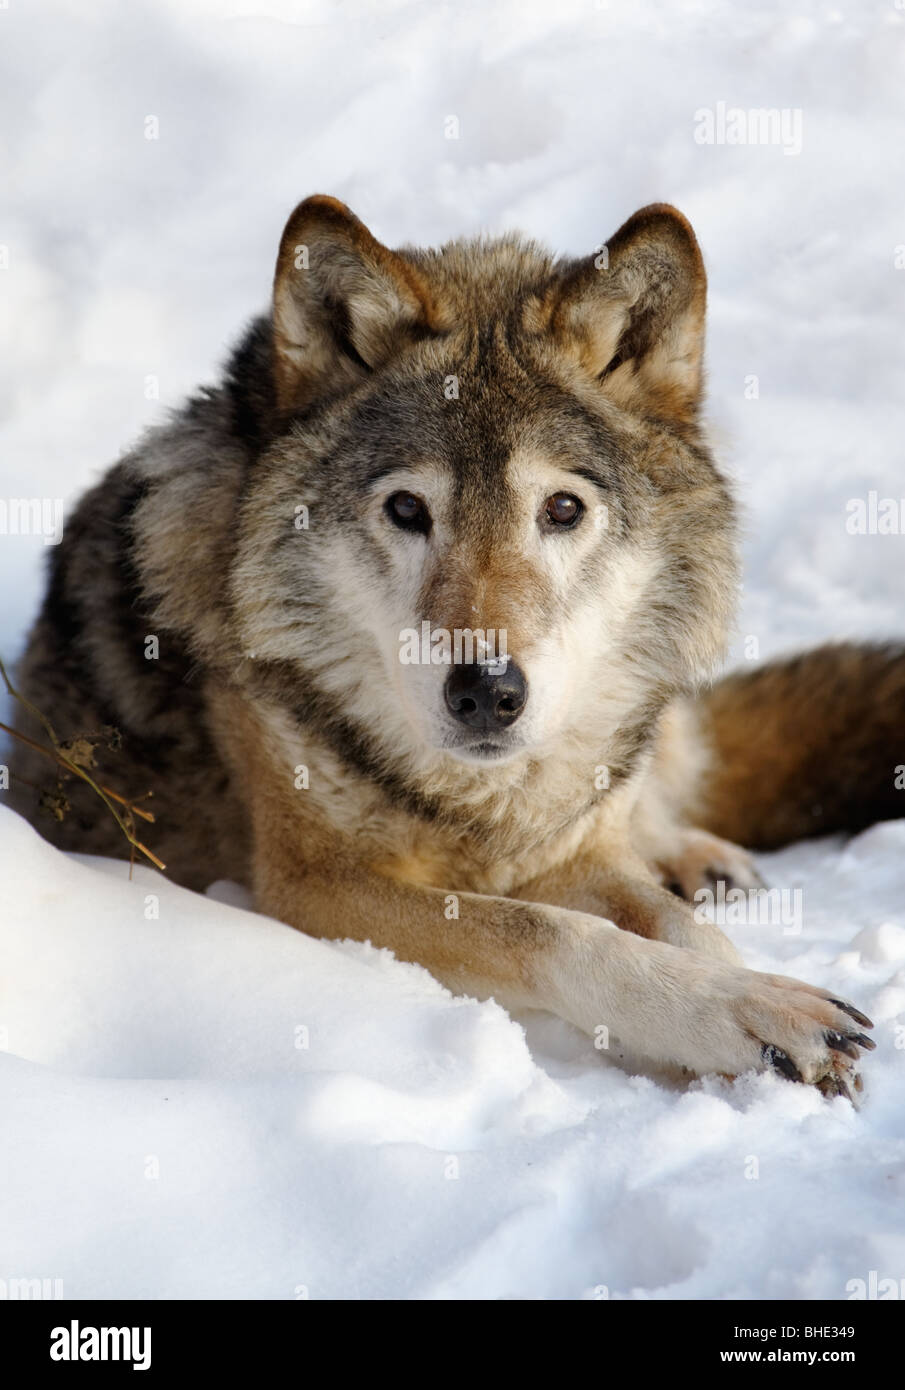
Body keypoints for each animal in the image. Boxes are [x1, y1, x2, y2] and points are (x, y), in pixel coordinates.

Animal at [10, 196, 902, 1098]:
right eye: (407, 509)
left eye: (561, 510)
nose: (486, 693)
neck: (478, 807)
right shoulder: (314, 888)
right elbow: (558, 933)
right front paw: (735, 1016)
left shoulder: (561, 847)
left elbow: (686, 929)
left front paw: (759, 1000)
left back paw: (698, 858)